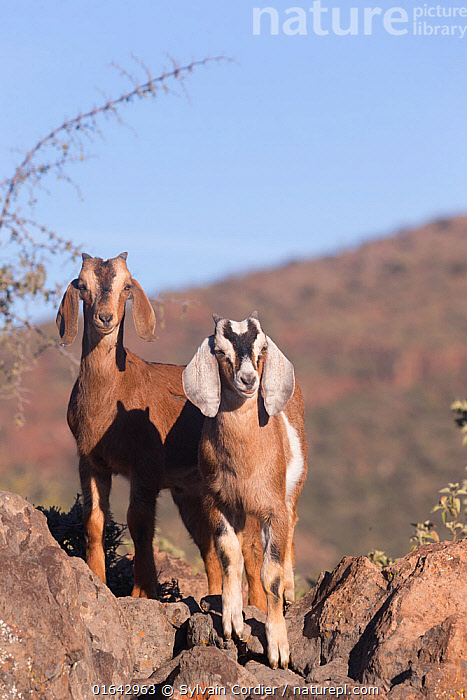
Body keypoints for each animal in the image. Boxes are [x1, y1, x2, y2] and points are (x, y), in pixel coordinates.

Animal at [56, 253, 265, 604]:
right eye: (82, 285)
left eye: (127, 287)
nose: (105, 317)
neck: (111, 396)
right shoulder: (91, 461)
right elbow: (95, 519)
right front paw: (97, 578)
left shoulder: (146, 464)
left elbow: (138, 522)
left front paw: (144, 590)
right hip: (193, 492)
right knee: (210, 546)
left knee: (249, 545)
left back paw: (257, 607)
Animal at [182, 312, 308, 668]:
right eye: (220, 351)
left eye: (261, 348)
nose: (249, 380)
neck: (245, 465)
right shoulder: (217, 503)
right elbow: (229, 556)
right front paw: (233, 623)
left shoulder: (273, 510)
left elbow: (271, 575)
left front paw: (278, 650)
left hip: (292, 494)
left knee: (291, 534)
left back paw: (290, 593)